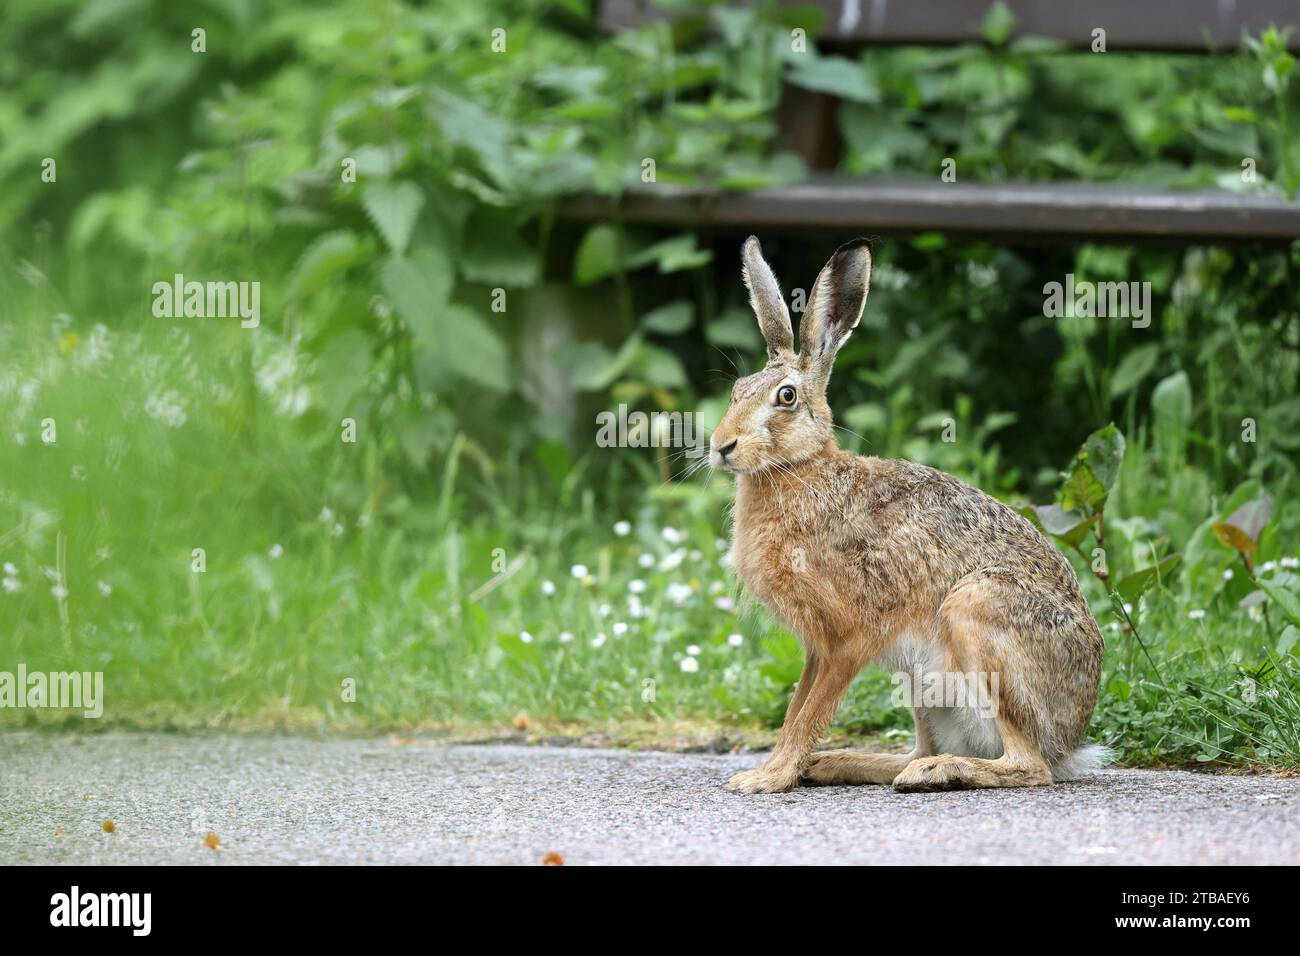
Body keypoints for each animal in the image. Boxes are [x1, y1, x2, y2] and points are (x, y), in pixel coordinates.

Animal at [710, 237, 1107, 794]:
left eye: (786, 397)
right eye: (736, 390)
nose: (721, 446)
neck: (801, 469)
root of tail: (1072, 743)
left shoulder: (848, 639)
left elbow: (810, 713)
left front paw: (765, 779)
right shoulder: (816, 648)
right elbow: (795, 709)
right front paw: (775, 770)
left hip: (977, 613)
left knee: (1029, 766)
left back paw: (934, 772)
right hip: (924, 688)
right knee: (927, 747)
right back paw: (841, 764)